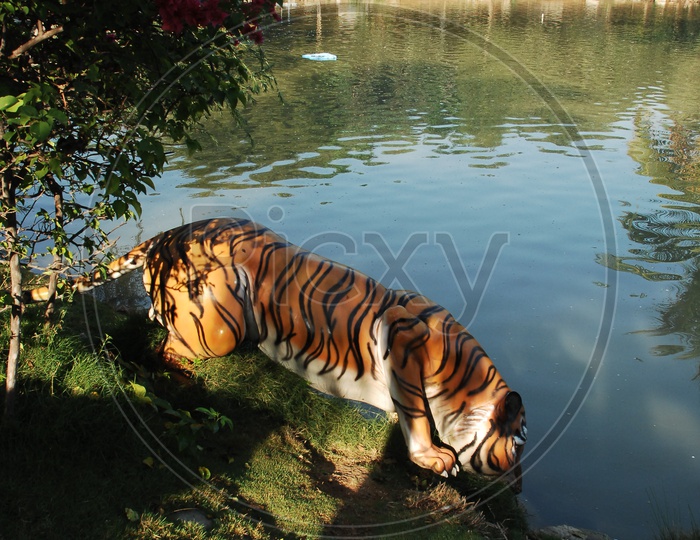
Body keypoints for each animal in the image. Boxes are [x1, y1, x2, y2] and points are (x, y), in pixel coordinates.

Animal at [26, 217, 527, 489]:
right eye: (518, 442)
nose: (518, 484)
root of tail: (169, 234)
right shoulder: (401, 340)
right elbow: (417, 415)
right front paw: (435, 458)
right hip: (219, 325)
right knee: (168, 349)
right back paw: (182, 373)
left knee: (154, 319)